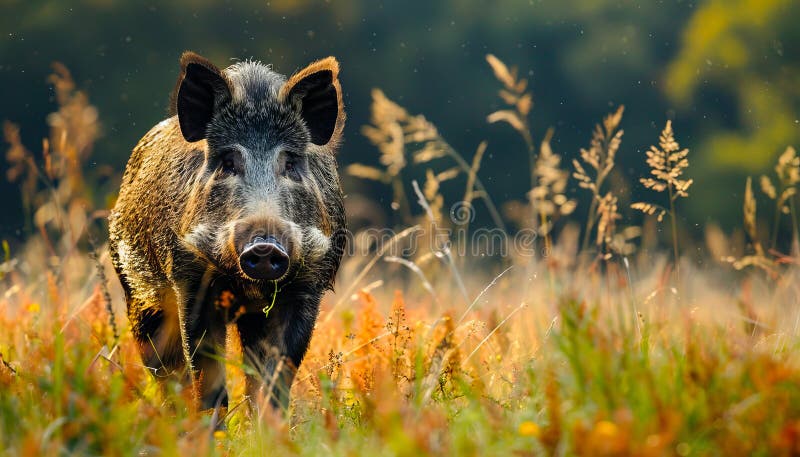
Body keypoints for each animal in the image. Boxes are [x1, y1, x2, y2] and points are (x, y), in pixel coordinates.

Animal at [108, 51, 347, 412]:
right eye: (228, 162)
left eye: (290, 163)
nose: (264, 247)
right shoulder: (190, 282)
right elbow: (207, 378)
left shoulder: (308, 287)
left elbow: (274, 381)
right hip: (137, 294)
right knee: (165, 372)